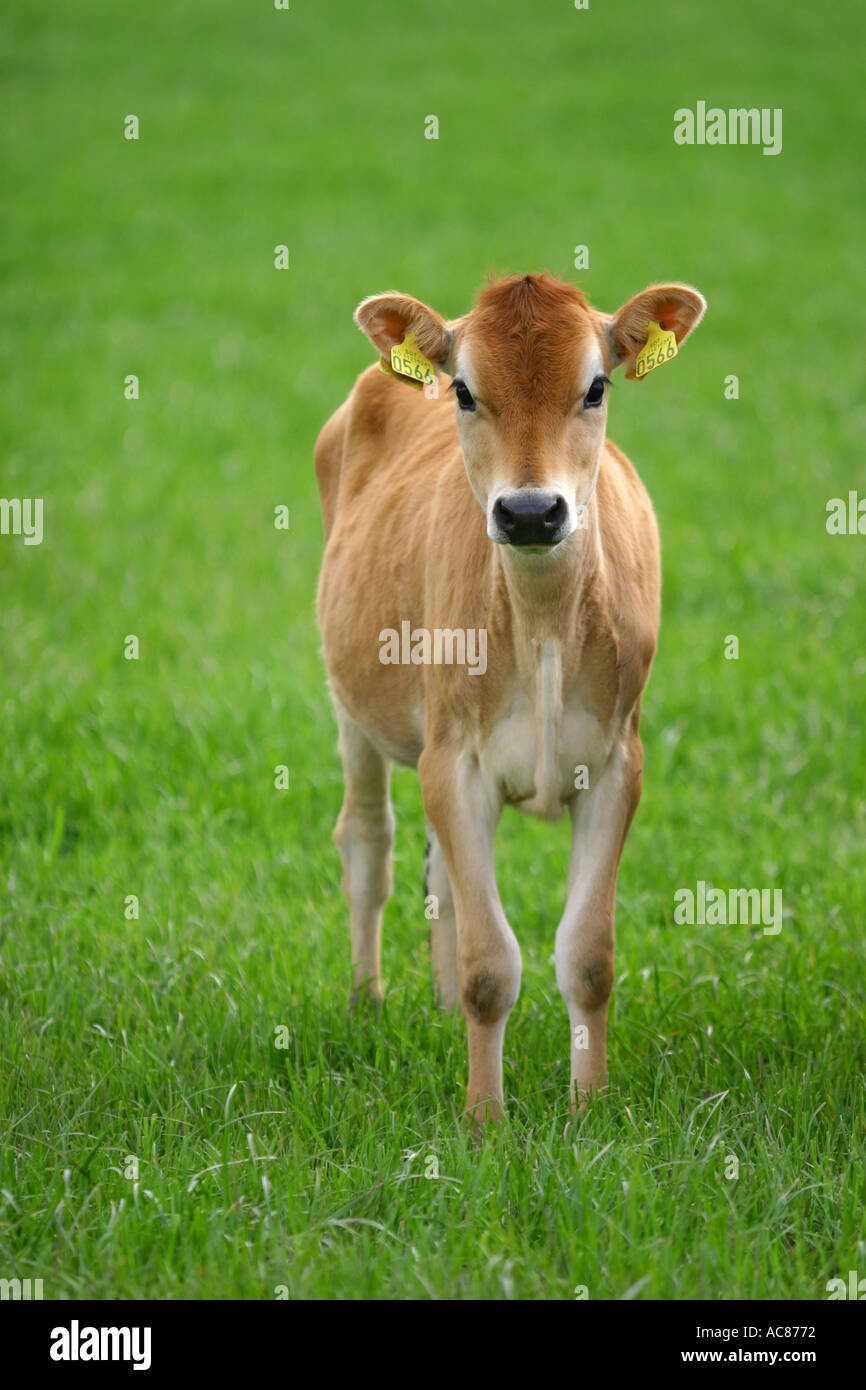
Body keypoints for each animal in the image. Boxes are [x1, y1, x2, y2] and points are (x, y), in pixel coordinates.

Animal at [314, 272, 706, 1130]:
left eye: (596, 388)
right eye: (466, 389)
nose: (530, 512)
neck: (545, 625)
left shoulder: (617, 763)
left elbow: (587, 956)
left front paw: (589, 1108)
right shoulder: (454, 762)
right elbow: (490, 965)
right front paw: (484, 1121)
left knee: (440, 879)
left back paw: (433, 1007)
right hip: (353, 706)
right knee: (368, 842)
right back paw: (367, 1003)